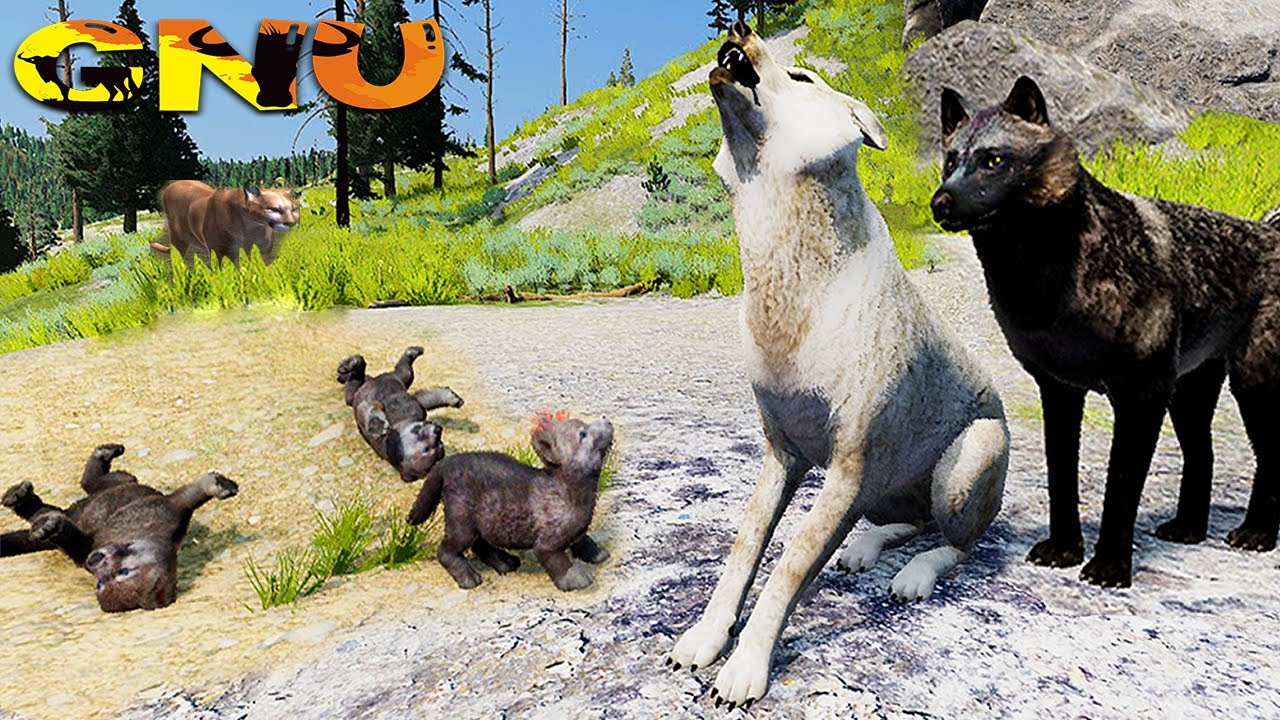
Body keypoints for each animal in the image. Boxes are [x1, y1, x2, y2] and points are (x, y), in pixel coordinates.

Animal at [1, 444, 238, 613]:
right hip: (108, 490)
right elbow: (189, 495)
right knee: (87, 487)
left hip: (104, 491)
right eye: (100, 582)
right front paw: (220, 484)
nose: (95, 561)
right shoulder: (165, 508)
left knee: (71, 494)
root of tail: (72, 509)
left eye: (121, 574)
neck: (132, 534)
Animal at [665, 22, 1009, 708]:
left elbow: (789, 566)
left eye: (802, 77)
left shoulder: (849, 469)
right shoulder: (782, 456)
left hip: (971, 458)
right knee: (911, 520)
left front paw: (745, 670)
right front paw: (705, 640)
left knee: (959, 541)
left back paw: (916, 574)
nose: (739, 28)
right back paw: (868, 547)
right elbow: (744, 549)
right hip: (892, 491)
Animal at [931, 76, 1280, 589]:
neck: (1051, 274)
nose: (939, 203)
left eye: (993, 160)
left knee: (1270, 457)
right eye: (951, 161)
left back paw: (1257, 533)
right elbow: (1061, 478)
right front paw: (1063, 549)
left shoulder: (1139, 397)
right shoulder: (1059, 391)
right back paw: (1188, 529)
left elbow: (1120, 488)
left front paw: (1110, 566)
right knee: (1203, 455)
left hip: (1253, 385)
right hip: (1190, 394)